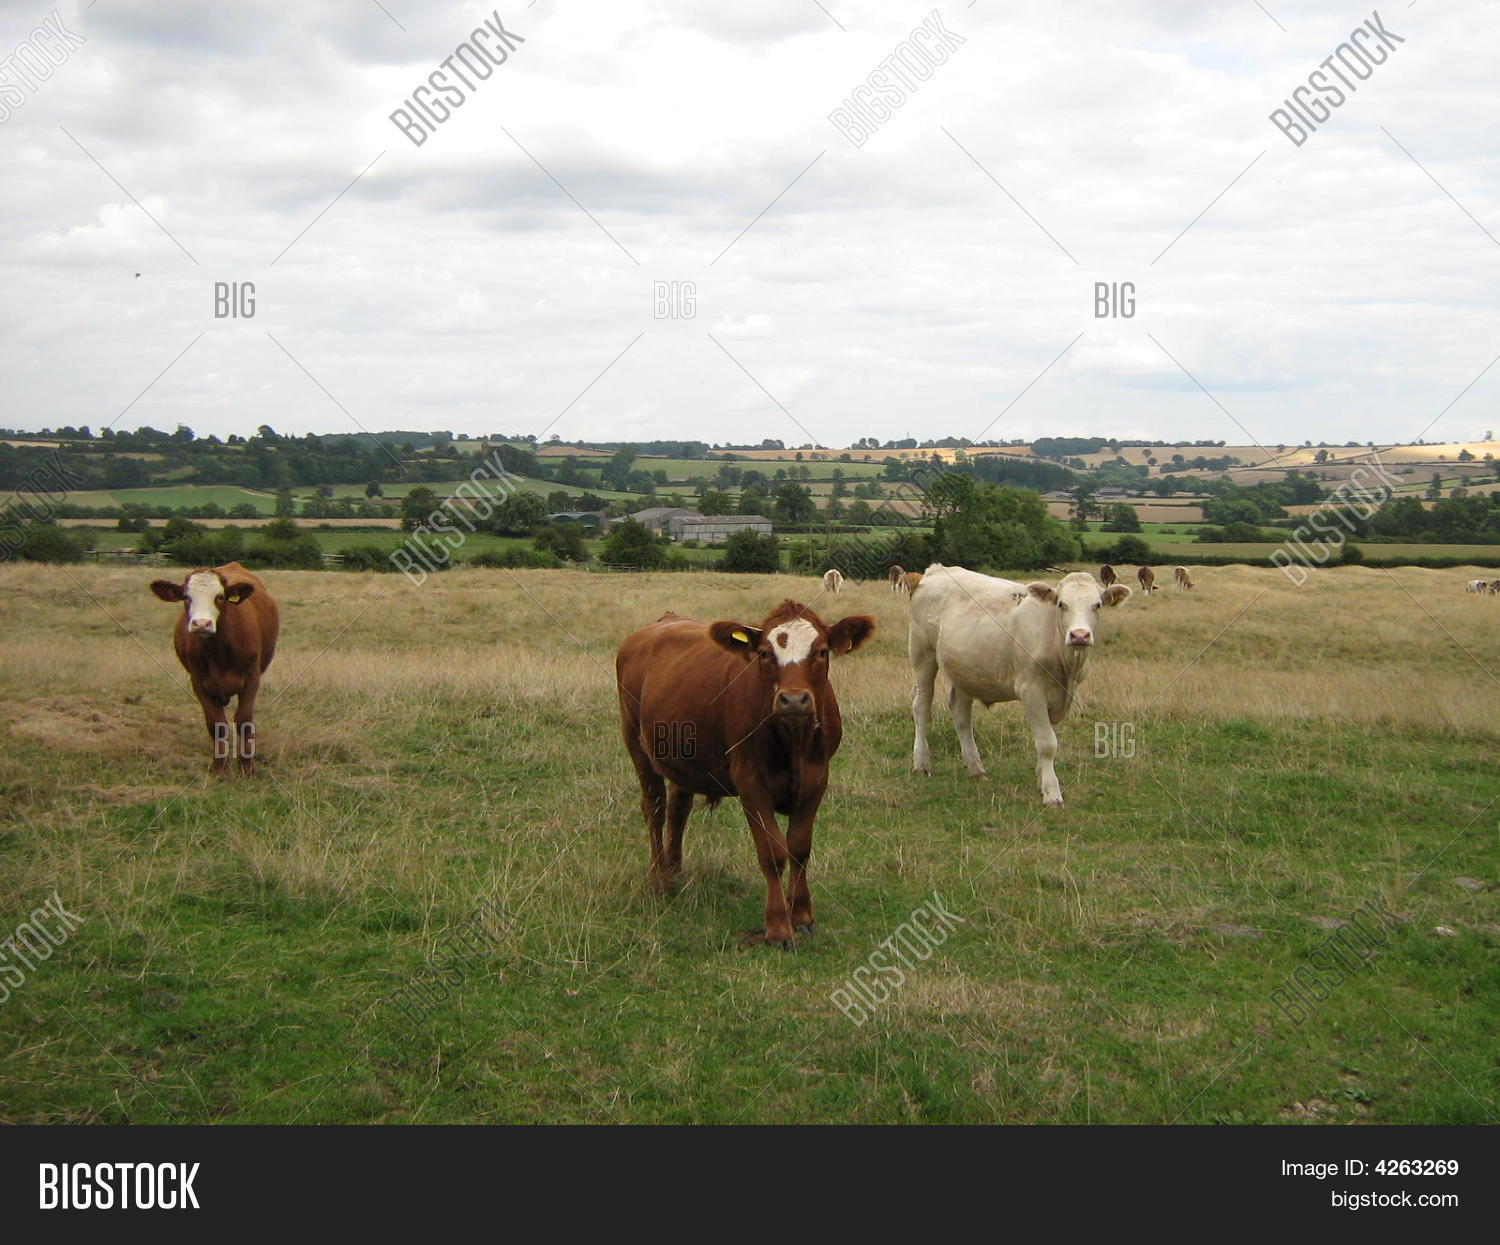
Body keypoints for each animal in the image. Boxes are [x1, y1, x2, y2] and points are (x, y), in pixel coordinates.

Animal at [150, 562, 279, 776]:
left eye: (219, 597)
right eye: (186, 597)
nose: (202, 624)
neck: (218, 652)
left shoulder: (252, 678)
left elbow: (244, 721)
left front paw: (247, 768)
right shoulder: (198, 681)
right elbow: (216, 723)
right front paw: (220, 768)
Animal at [617, 601, 875, 948]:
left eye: (821, 651)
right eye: (764, 653)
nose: (794, 700)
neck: (793, 741)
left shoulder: (817, 779)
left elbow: (799, 848)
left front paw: (801, 915)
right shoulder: (751, 784)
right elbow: (772, 853)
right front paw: (778, 927)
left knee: (678, 808)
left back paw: (675, 868)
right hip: (636, 740)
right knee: (654, 807)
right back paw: (659, 878)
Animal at [910, 565, 1130, 806]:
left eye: (1097, 605)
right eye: (1062, 604)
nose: (1079, 635)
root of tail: (937, 569)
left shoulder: (1060, 695)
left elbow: (1050, 736)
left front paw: (1041, 780)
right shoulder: (1032, 690)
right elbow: (1046, 743)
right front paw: (1052, 793)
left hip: (965, 668)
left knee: (960, 713)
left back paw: (976, 768)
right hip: (922, 654)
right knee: (921, 706)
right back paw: (921, 763)